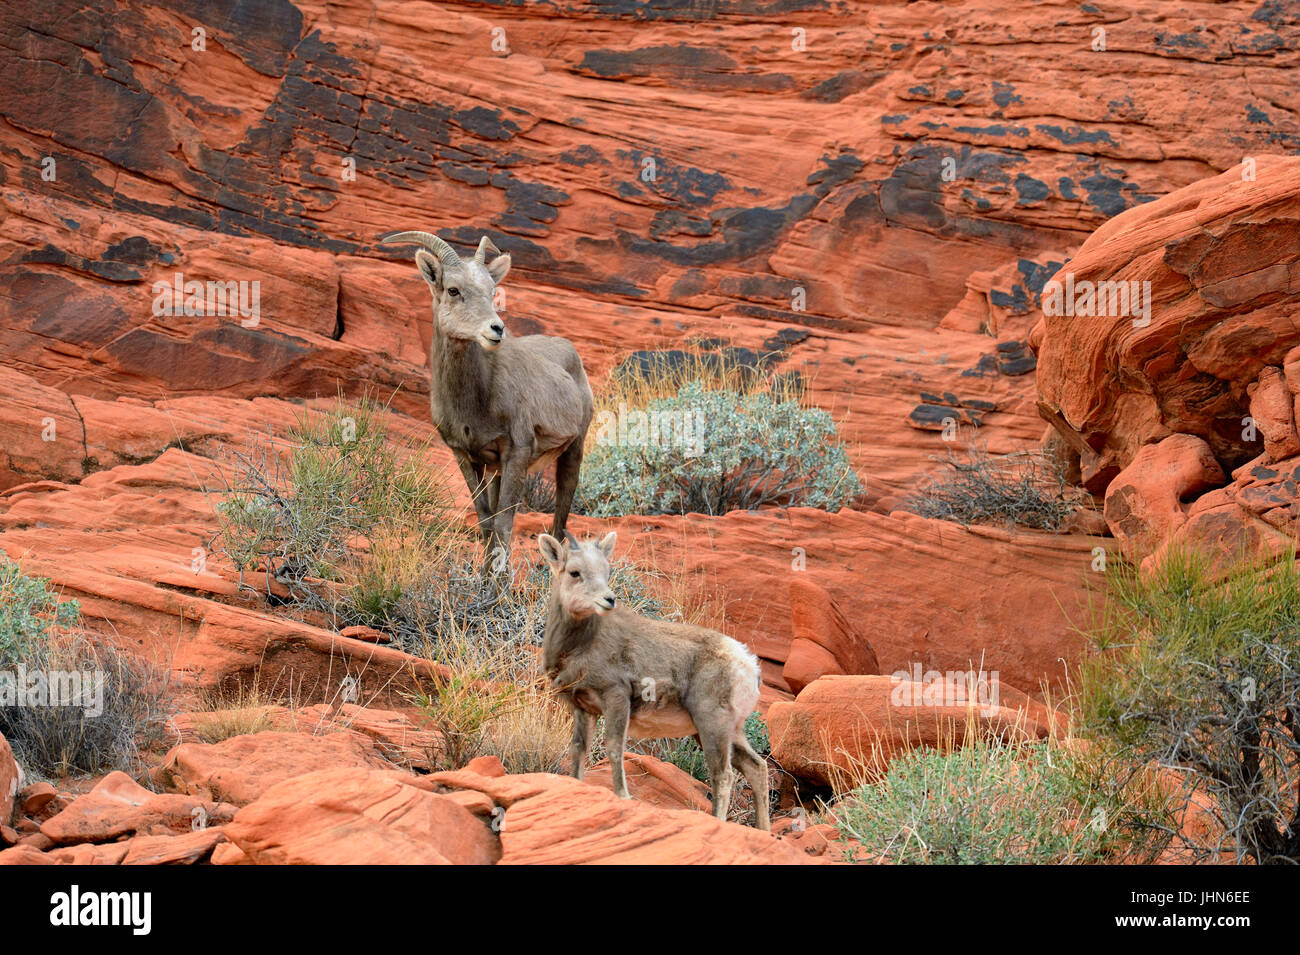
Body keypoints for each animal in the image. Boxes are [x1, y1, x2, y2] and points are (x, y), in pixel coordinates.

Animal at [380, 230, 593, 584]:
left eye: (493, 292)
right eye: (453, 290)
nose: (497, 329)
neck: (476, 401)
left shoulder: (516, 452)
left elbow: (505, 522)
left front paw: (500, 587)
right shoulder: (466, 456)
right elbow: (486, 519)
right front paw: (484, 579)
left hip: (573, 449)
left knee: (561, 514)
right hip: (497, 470)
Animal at [538, 530, 770, 830]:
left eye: (606, 571)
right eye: (575, 572)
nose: (609, 600)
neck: (578, 646)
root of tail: (748, 664)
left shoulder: (616, 698)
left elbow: (614, 747)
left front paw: (623, 796)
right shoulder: (582, 708)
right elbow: (579, 750)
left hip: (712, 724)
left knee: (723, 775)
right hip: (727, 730)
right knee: (756, 768)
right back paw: (765, 830)